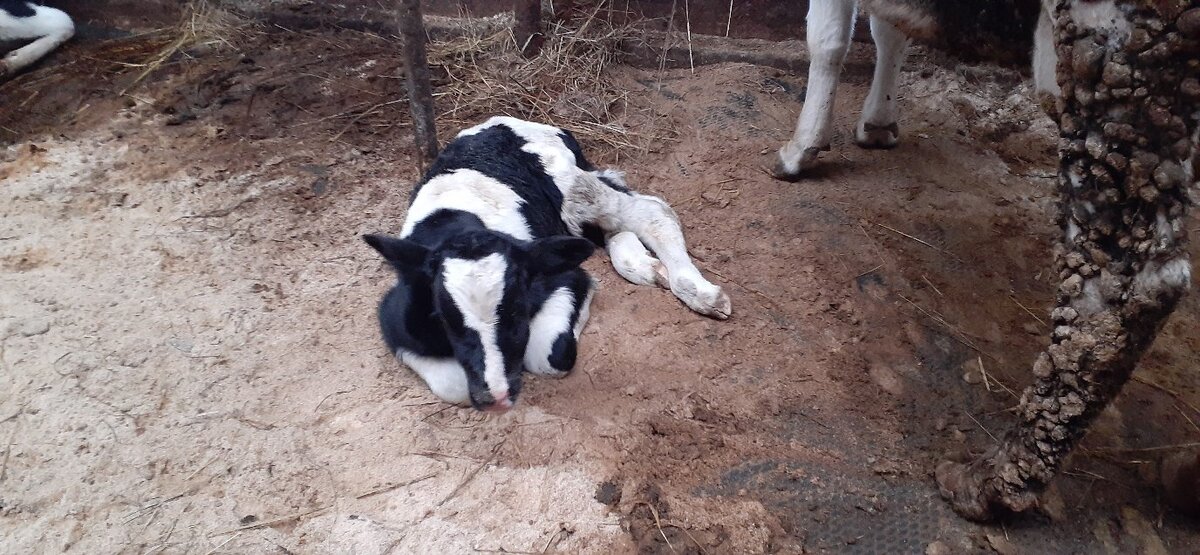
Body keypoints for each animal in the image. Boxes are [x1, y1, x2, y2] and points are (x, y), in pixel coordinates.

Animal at [360, 117, 724, 410]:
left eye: (516, 311)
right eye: (445, 318)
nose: (495, 396)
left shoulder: (564, 275)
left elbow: (549, 353)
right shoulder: (394, 314)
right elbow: (453, 385)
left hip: (574, 188)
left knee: (651, 212)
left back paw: (699, 292)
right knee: (615, 228)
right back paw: (644, 265)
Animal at [772, 0, 1195, 521]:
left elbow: (828, 39)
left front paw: (802, 148)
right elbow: (887, 32)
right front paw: (878, 122)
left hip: (1116, 65)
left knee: (1123, 287)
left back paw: (995, 479)